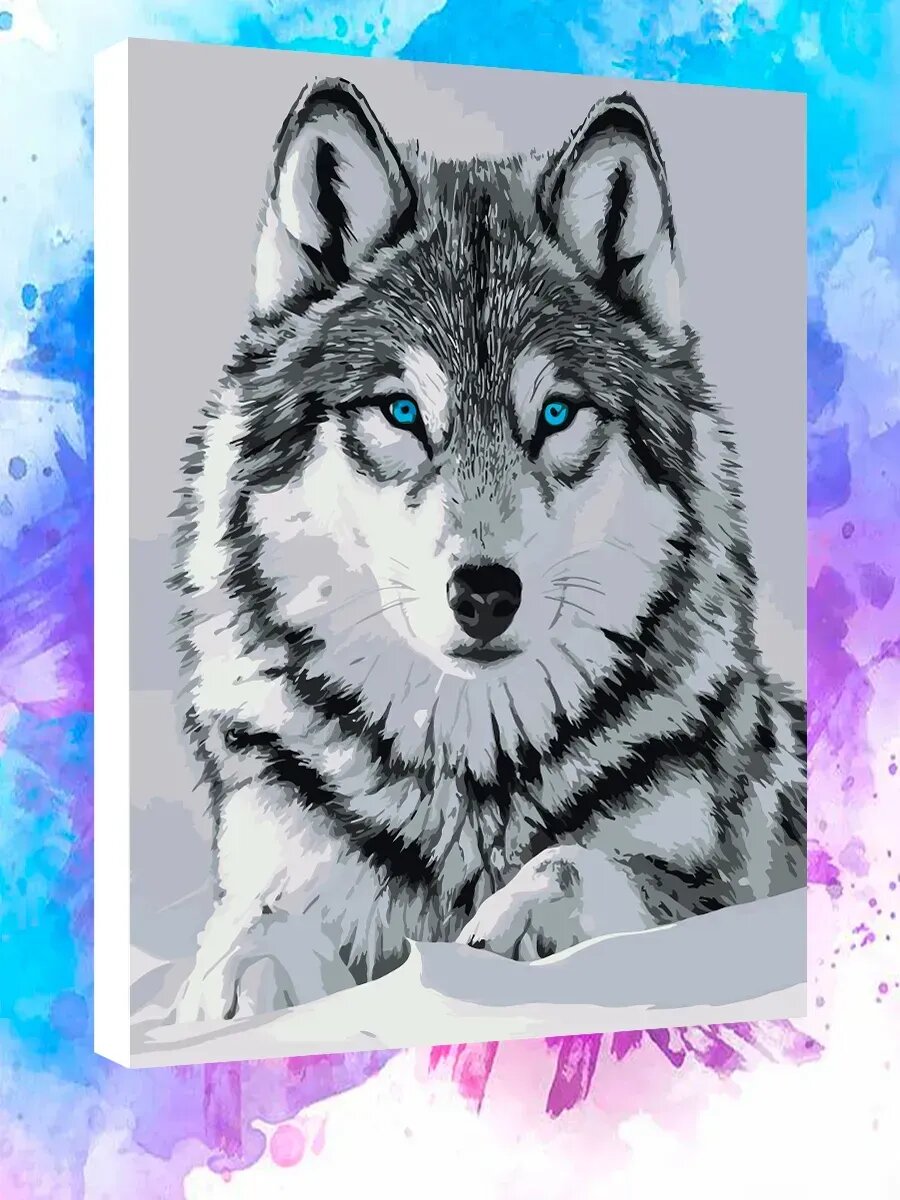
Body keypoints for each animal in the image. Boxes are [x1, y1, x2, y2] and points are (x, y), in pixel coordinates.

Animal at [170, 77, 806, 1022]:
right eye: (401, 412)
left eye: (556, 414)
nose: (485, 593)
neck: (467, 778)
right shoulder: (280, 853)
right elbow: (253, 914)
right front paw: (245, 982)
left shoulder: (716, 882)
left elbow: (580, 861)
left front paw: (518, 925)